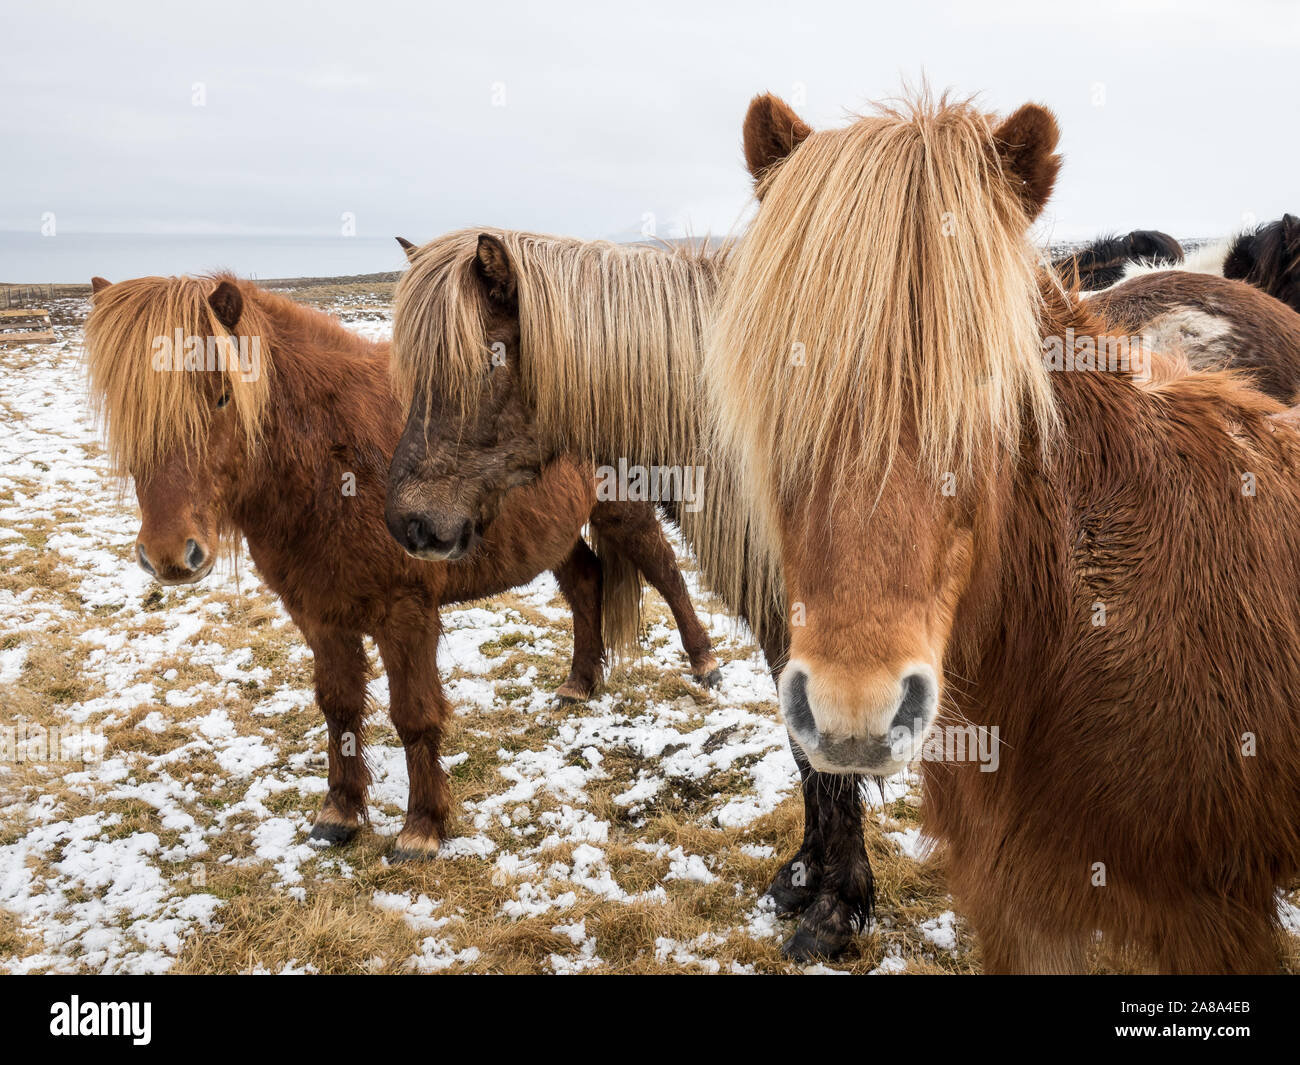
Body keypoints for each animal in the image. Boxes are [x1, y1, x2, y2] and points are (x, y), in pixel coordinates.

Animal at [83, 273, 721, 861]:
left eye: (220, 397)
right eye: (127, 414)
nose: (171, 555)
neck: (332, 458)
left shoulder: (405, 614)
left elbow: (414, 715)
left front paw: (422, 829)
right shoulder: (319, 615)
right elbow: (338, 708)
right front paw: (339, 814)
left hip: (622, 509)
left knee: (666, 572)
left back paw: (704, 665)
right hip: (554, 532)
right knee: (586, 583)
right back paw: (579, 684)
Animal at [382, 230, 876, 960]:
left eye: (481, 364)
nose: (407, 525)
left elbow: (830, 762)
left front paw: (835, 911)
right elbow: (804, 756)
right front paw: (802, 881)